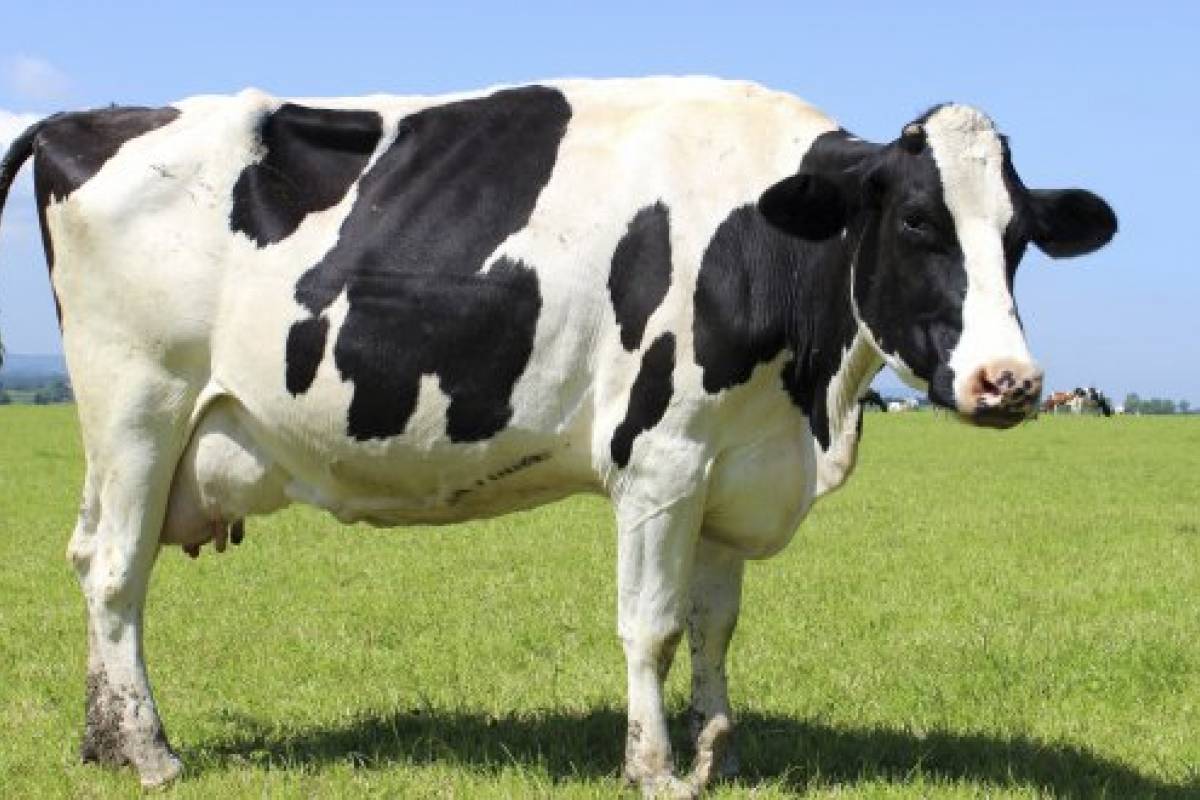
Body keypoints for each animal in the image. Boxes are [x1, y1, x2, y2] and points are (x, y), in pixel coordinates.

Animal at [0, 77, 1116, 796]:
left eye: (1019, 236)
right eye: (920, 223)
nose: (1011, 381)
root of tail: (80, 118)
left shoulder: (731, 464)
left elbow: (714, 627)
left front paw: (719, 751)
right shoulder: (661, 456)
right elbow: (652, 625)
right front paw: (655, 767)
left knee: (89, 554)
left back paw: (102, 738)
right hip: (139, 403)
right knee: (117, 571)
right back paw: (149, 751)